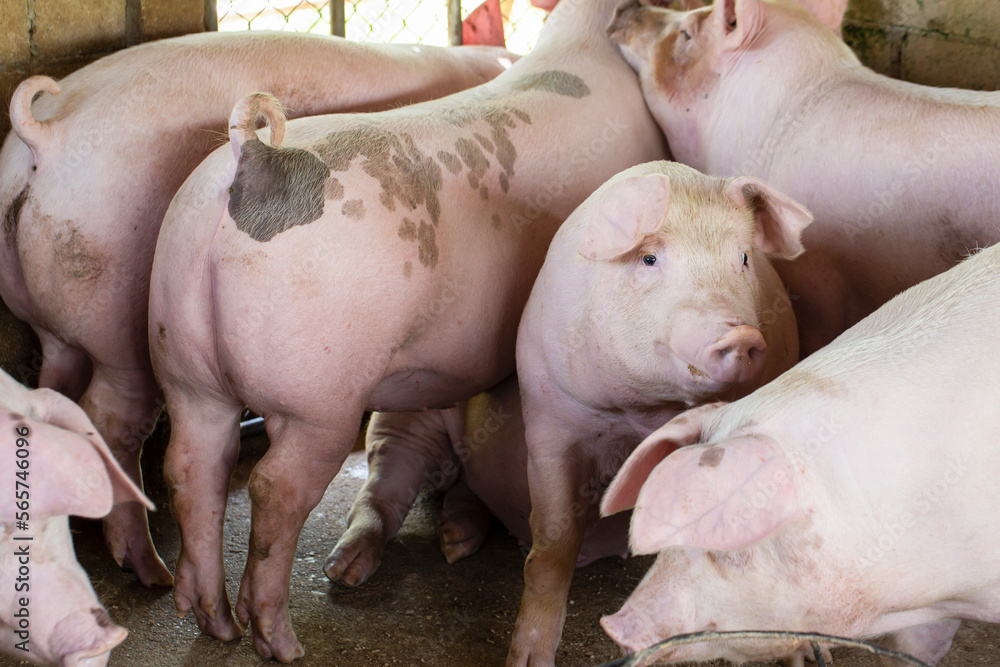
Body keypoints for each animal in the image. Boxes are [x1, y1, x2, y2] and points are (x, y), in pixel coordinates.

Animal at [0, 31, 514, 588]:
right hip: (116, 321)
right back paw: (151, 572)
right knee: (111, 418)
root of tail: (44, 135)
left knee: (56, 387)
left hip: (53, 319)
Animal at [148, 0, 670, 660]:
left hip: (182, 358)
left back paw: (212, 621)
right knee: (271, 488)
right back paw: (281, 643)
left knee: (191, 468)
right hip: (319, 395)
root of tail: (258, 158)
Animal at [508, 160, 809, 665]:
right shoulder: (548, 420)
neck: (643, 410)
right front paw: (526, 658)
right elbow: (551, 545)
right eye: (649, 259)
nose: (740, 335)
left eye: (744, 258)